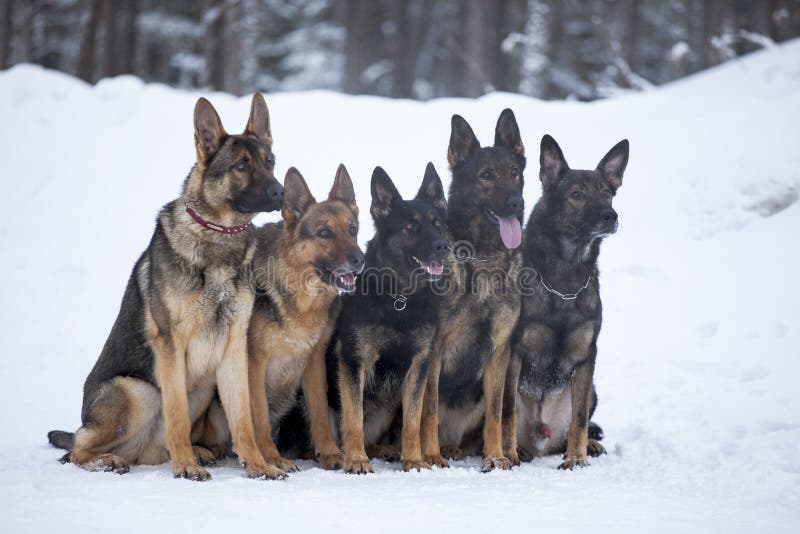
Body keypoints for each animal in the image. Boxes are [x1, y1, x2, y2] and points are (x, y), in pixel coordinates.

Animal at [48, 92, 286, 482]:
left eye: (270, 163)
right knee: (77, 452)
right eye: (241, 165)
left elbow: (244, 420)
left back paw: (196, 452)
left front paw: (258, 464)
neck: (219, 237)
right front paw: (186, 465)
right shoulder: (171, 346)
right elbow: (176, 416)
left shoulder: (233, 349)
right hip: (139, 391)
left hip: (202, 388)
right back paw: (114, 461)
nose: (280, 192)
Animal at [198, 165, 364, 476]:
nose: (360, 259)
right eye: (324, 233)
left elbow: (319, 413)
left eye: (353, 230)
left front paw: (330, 453)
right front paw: (272, 458)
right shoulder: (254, 364)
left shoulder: (313, 361)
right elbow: (259, 418)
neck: (301, 297)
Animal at [324, 163, 450, 474]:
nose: (443, 246)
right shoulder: (354, 363)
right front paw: (356, 461)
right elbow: (353, 420)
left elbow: (413, 422)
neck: (399, 298)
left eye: (438, 224)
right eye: (410, 226)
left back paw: (386, 450)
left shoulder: (419, 366)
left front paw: (414, 459)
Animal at [516, 136, 628, 472]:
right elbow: (504, 412)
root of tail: (540, 439)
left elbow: (578, 417)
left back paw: (586, 444)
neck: (564, 279)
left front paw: (576, 457)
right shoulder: (513, 351)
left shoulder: (586, 356)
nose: (610, 216)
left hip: (592, 391)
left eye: (607, 193)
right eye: (576, 195)